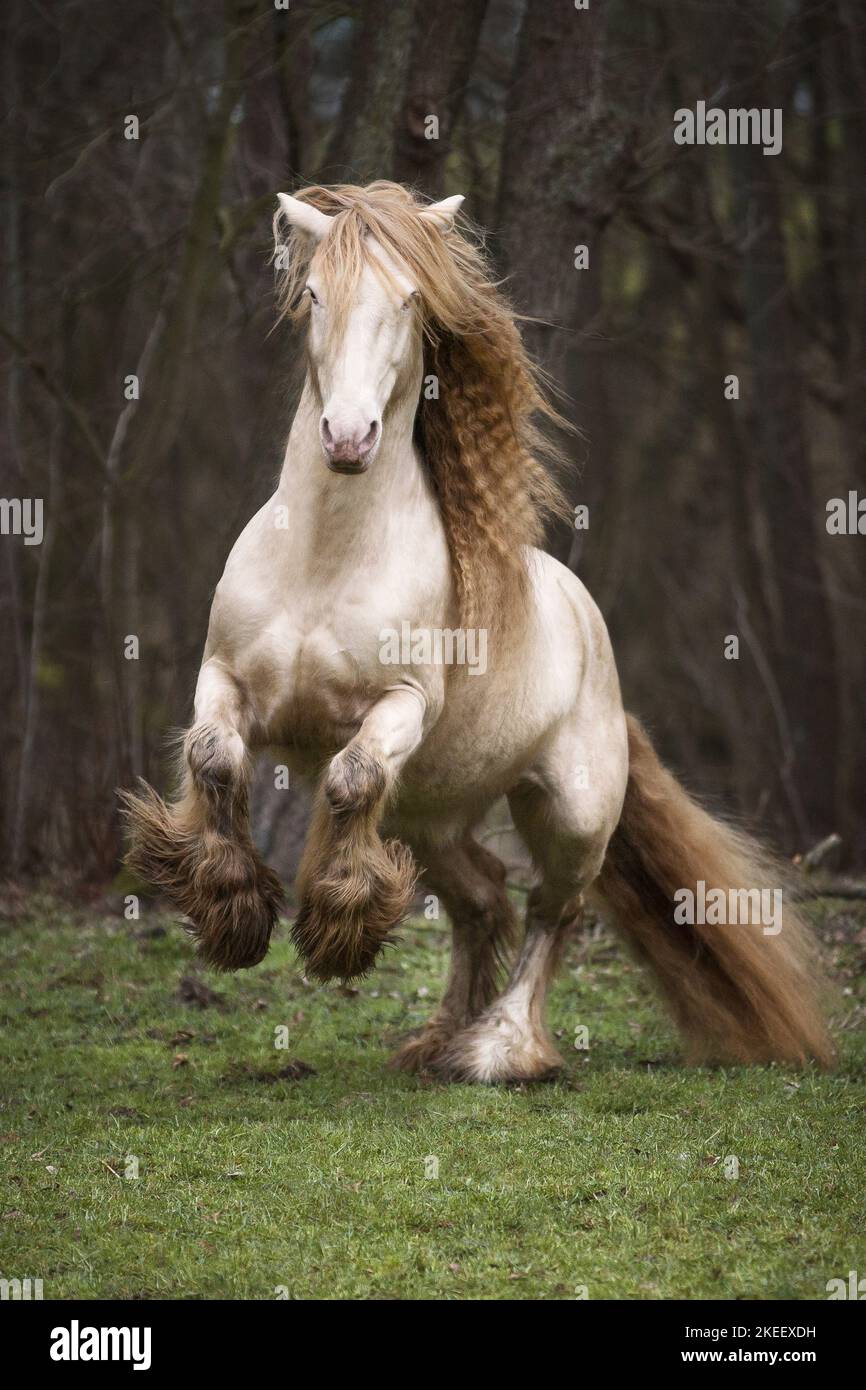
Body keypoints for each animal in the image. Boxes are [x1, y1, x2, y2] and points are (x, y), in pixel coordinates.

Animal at [123, 180, 832, 1083]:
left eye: (409, 298)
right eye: (314, 294)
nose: (347, 438)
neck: (325, 562)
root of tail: (591, 632)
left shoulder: (400, 706)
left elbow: (350, 776)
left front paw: (334, 934)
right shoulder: (225, 679)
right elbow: (215, 756)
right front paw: (234, 914)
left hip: (568, 812)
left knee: (553, 909)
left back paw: (499, 1048)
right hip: (426, 816)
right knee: (483, 898)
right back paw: (438, 1040)